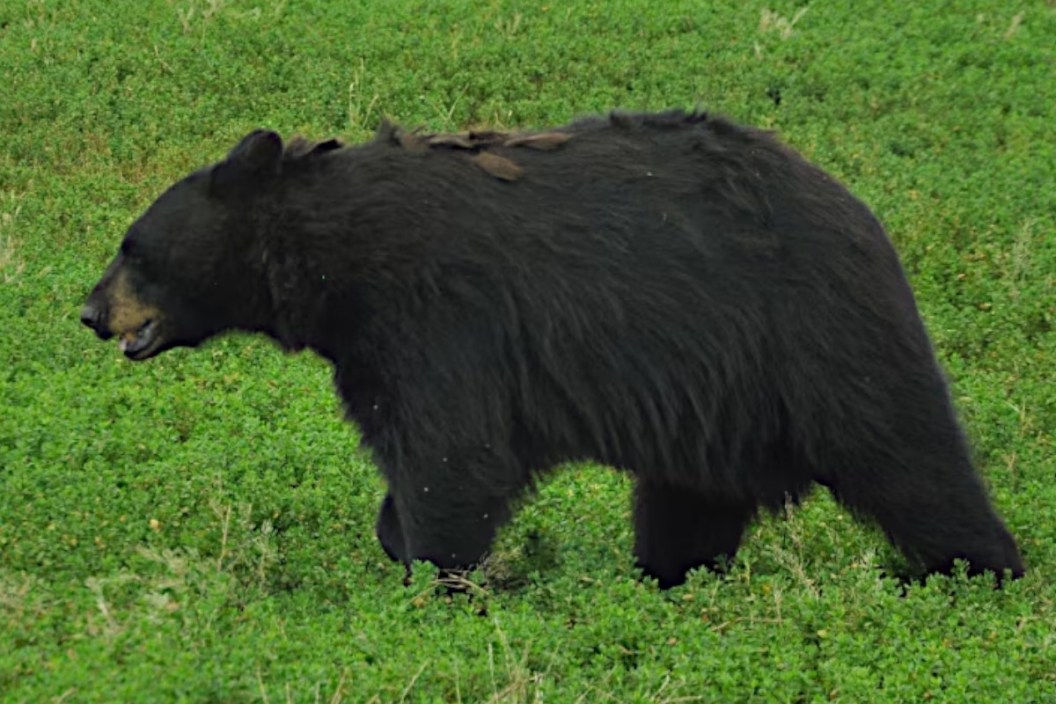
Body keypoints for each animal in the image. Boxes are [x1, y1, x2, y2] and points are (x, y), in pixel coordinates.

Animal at [82, 109, 1025, 588]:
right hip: (717, 399)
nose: (90, 311)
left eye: (133, 247)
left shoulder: (434, 314)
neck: (330, 256)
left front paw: (439, 570)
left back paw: (970, 574)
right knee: (688, 505)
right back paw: (668, 581)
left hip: (813, 333)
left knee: (908, 459)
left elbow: (453, 456)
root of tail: (861, 212)